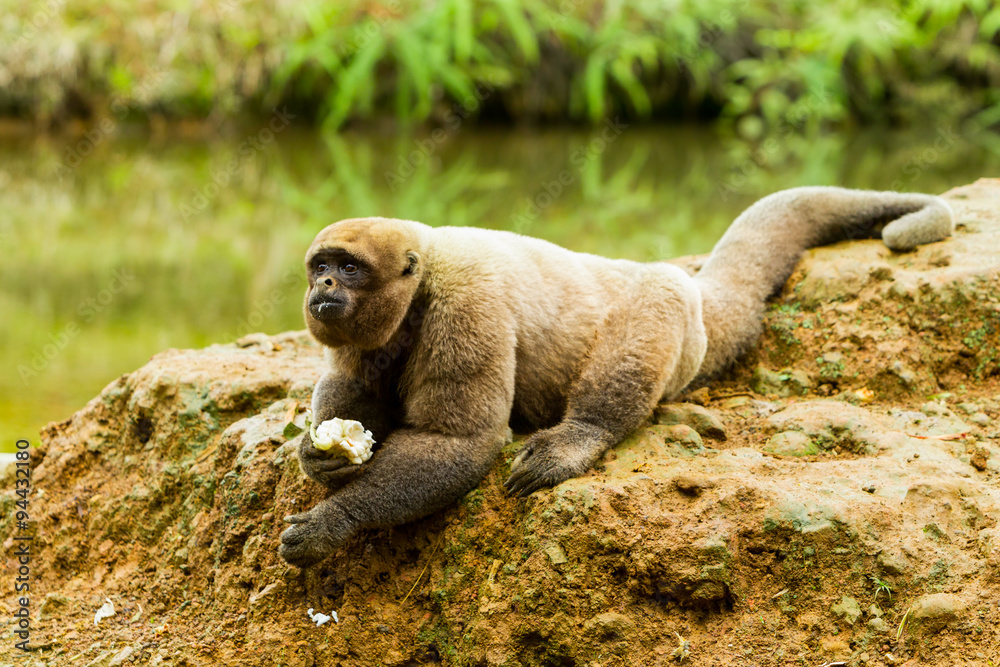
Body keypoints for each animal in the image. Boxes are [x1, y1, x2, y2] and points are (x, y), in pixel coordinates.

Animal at [279, 186, 954, 567]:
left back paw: (581, 436)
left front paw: (334, 522)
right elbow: (354, 400)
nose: (323, 286)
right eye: (320, 266)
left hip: (681, 332)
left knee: (658, 292)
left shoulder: (467, 304)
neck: (418, 285)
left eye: (349, 267)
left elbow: (457, 443)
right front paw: (322, 456)